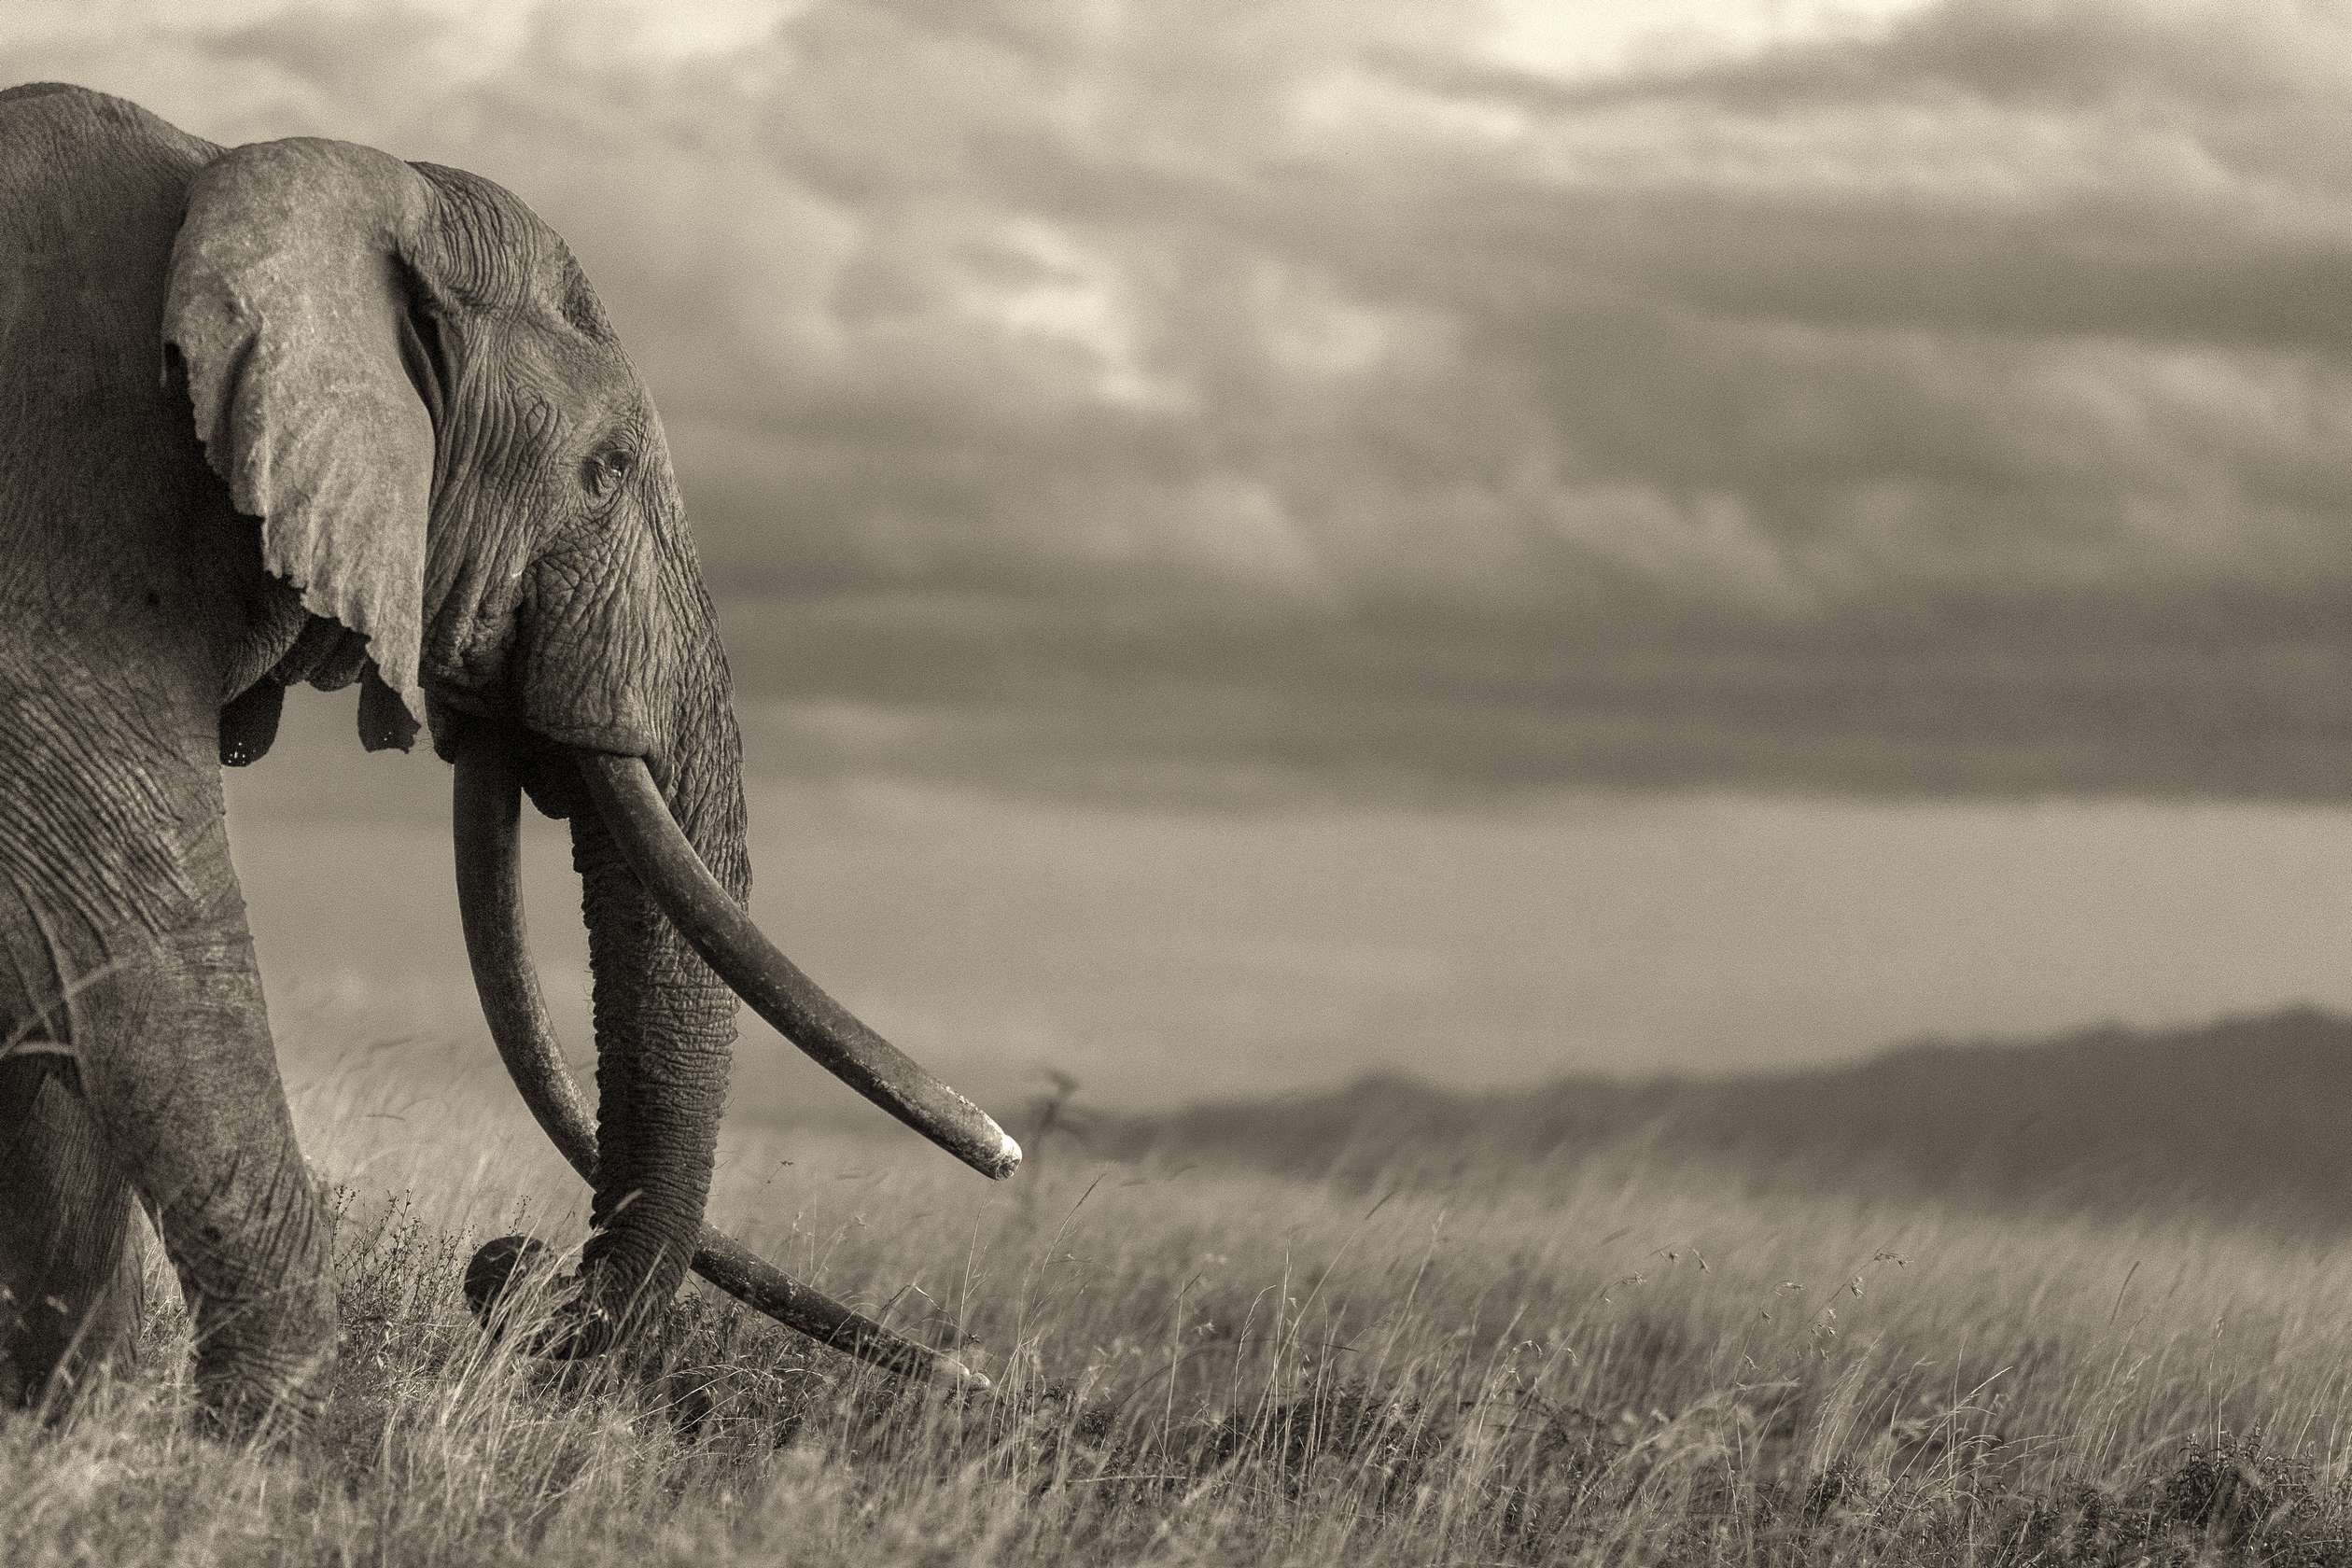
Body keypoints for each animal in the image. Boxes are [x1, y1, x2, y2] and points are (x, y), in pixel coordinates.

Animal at [0, 83, 1019, 1427]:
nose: (510, 1268)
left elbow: (54, 979)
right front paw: (303, 1442)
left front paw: (73, 1424)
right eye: (607, 470)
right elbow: (120, 925)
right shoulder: (70, 503)